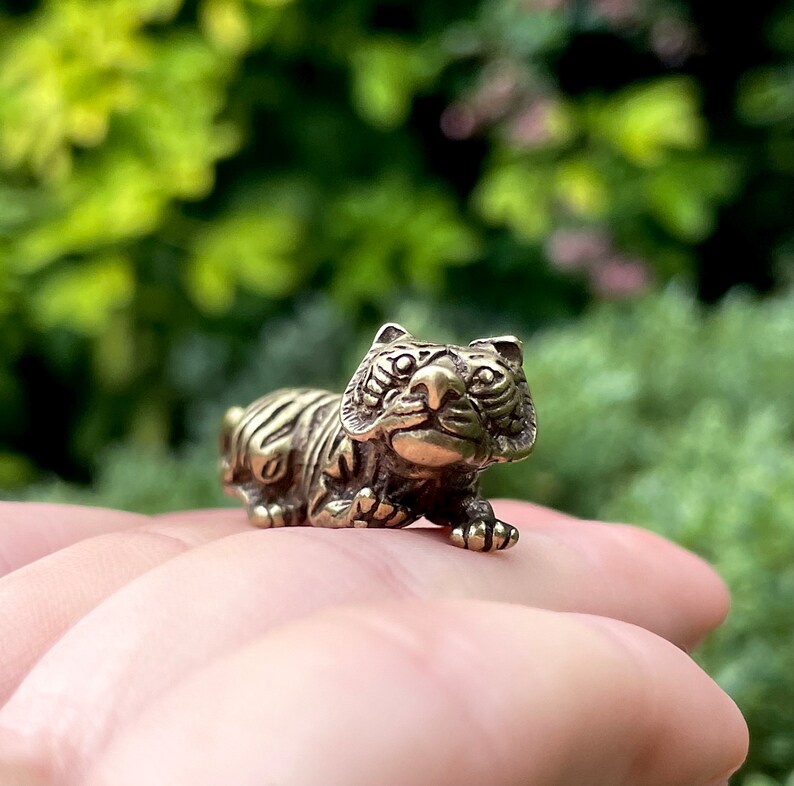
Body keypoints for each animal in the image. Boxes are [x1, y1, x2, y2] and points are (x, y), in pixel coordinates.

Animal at [220, 322, 537, 552]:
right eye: (402, 365)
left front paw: (487, 528)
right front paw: (371, 511)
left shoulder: (458, 488)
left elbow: (477, 506)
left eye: (485, 377)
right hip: (269, 450)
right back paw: (275, 507)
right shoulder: (326, 487)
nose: (436, 384)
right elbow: (331, 508)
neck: (417, 470)